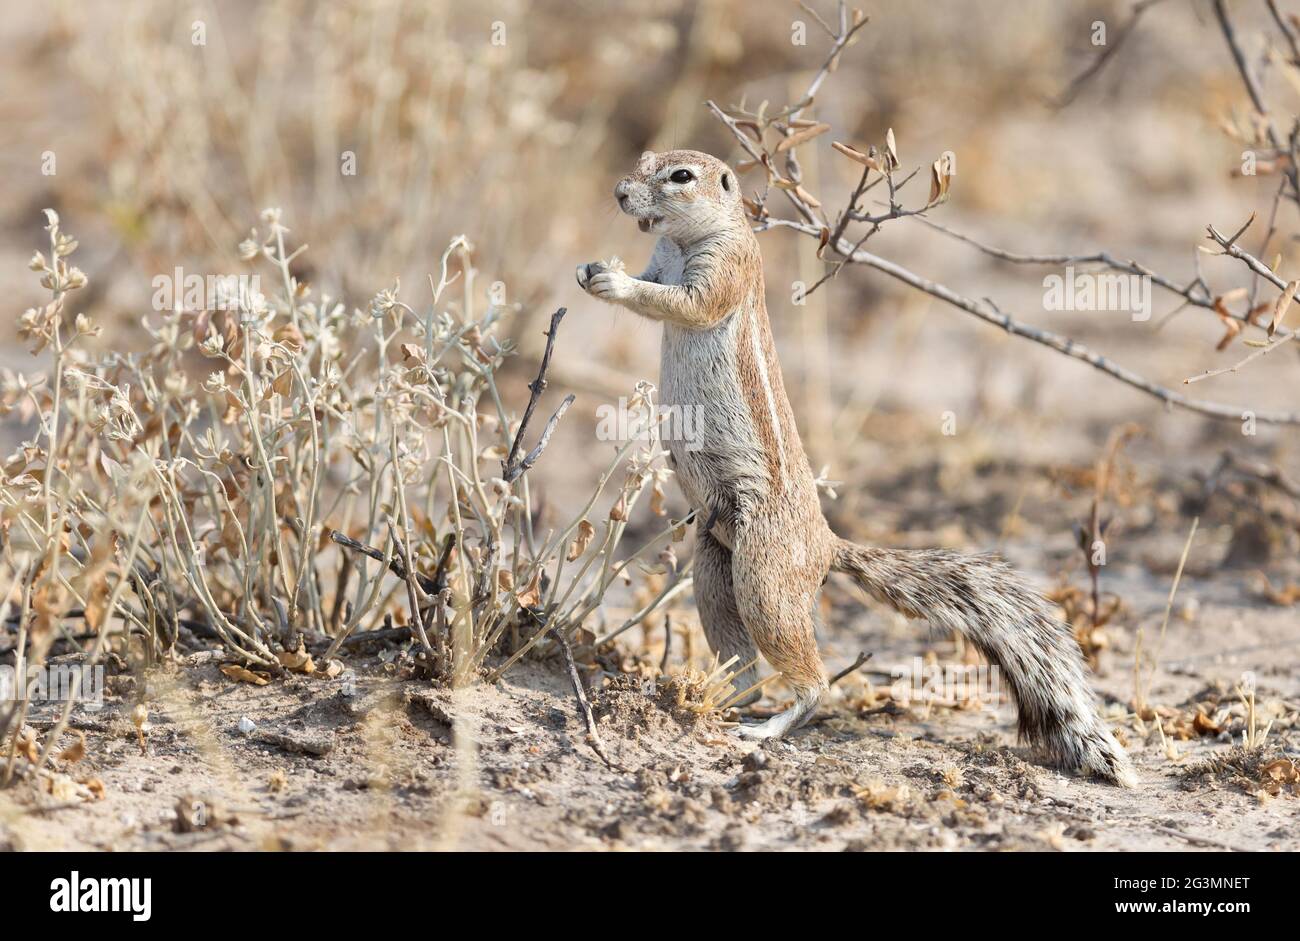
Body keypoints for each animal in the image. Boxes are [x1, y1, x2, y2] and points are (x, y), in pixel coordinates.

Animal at [577, 149, 1136, 787]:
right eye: (644, 161)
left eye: (680, 177)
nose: (620, 194)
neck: (688, 237)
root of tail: (827, 545)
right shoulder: (663, 259)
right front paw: (591, 270)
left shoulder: (726, 271)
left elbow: (681, 303)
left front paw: (612, 279)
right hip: (715, 569)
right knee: (742, 663)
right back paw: (708, 696)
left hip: (765, 577)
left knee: (812, 680)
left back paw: (766, 726)